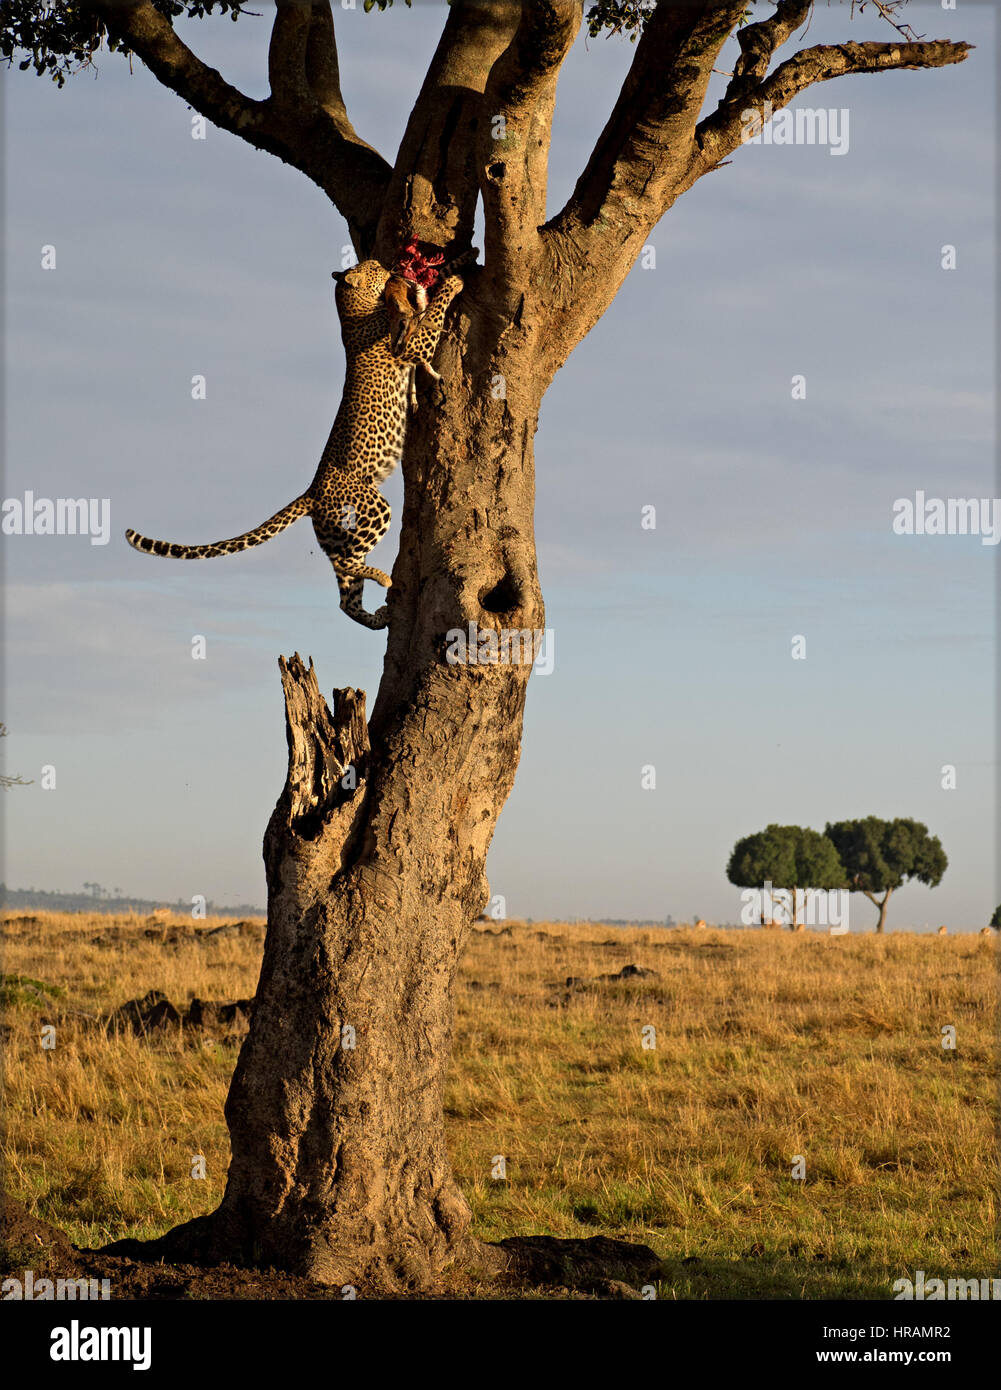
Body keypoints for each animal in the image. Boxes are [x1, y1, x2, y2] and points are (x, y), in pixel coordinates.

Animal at [125, 253, 470, 630]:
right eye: (375, 269)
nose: (387, 264)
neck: (351, 311)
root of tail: (312, 493)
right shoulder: (409, 345)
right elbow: (432, 317)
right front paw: (452, 283)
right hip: (372, 507)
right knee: (348, 565)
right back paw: (385, 580)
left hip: (340, 532)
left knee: (345, 593)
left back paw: (381, 615)